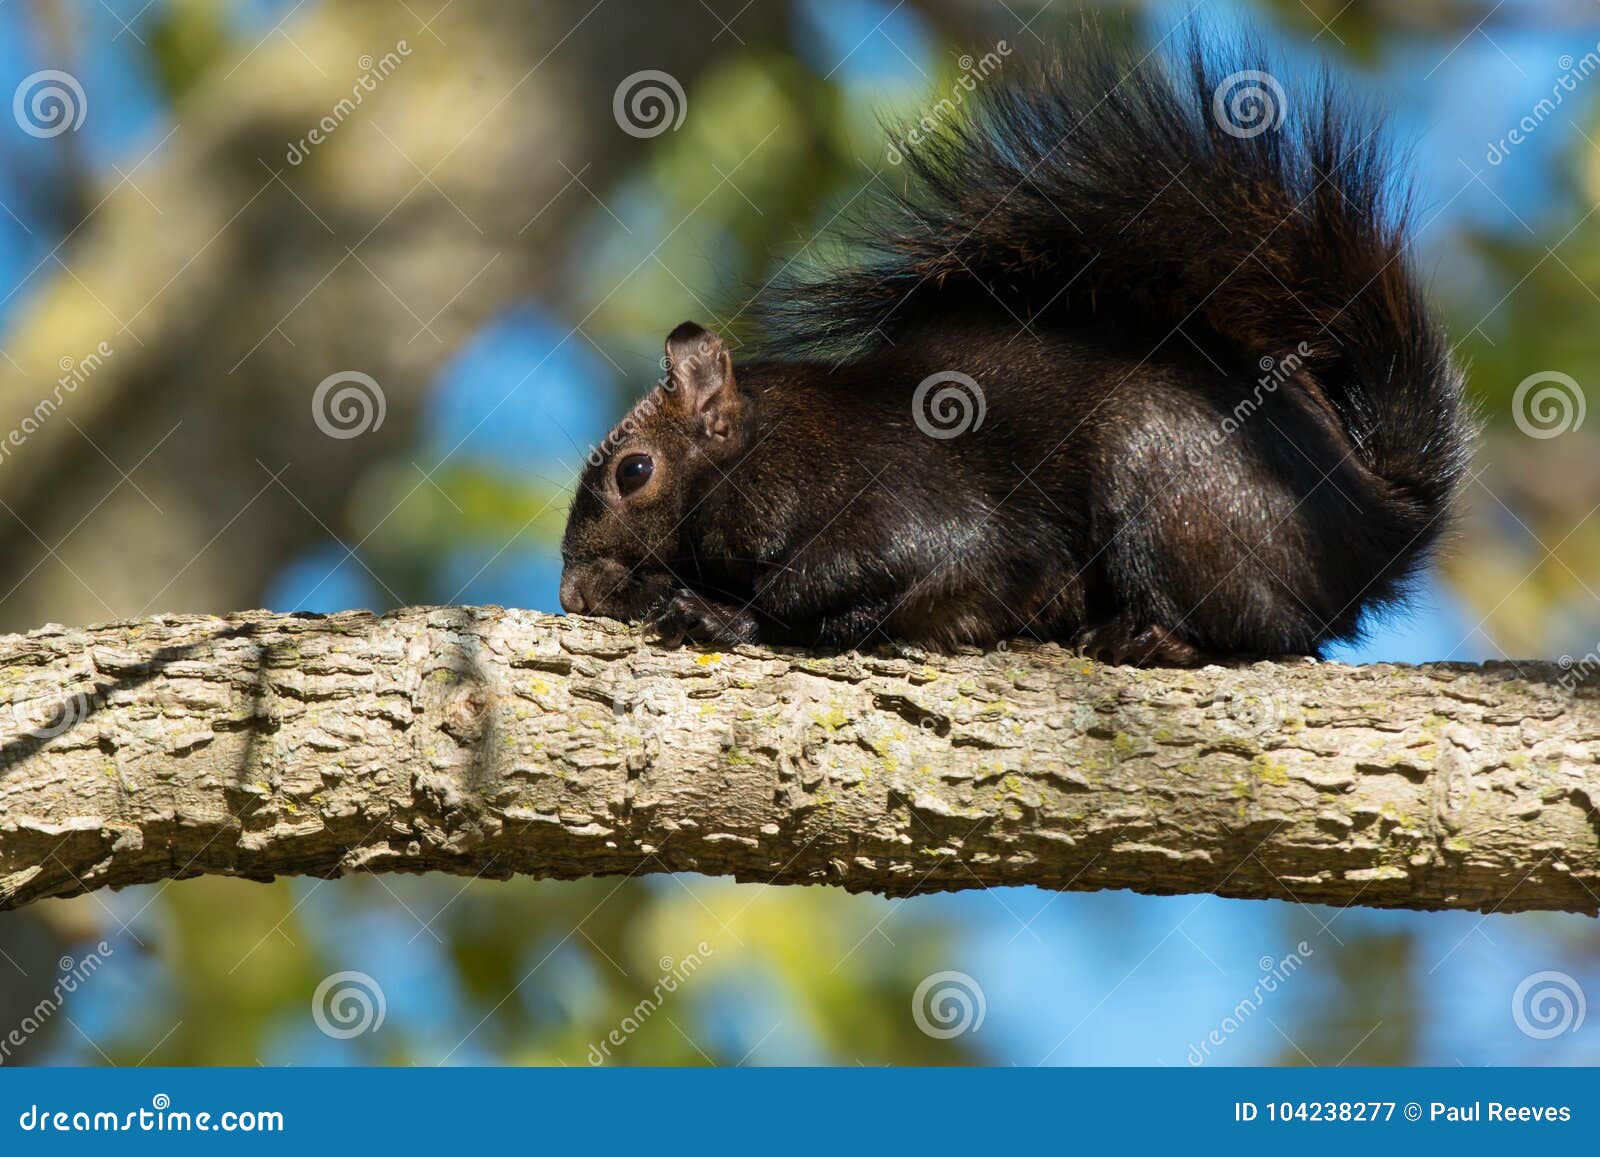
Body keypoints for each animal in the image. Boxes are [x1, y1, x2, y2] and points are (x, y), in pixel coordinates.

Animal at [559, 29, 1473, 666]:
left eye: (633, 471)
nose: (571, 593)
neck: (759, 441)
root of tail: (1376, 520)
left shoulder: (886, 496)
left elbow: (879, 565)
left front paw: (722, 612)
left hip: (1164, 479)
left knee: (1272, 628)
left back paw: (1151, 637)